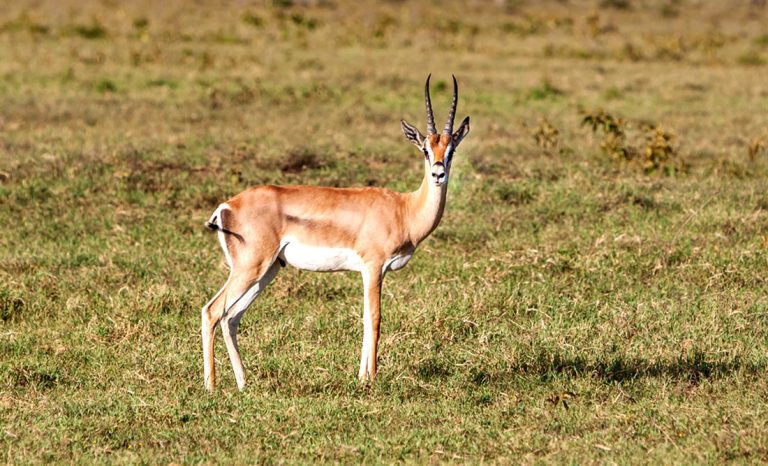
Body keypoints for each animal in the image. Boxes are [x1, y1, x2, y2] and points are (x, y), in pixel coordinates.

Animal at [201, 75, 470, 391]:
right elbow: (375, 318)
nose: (439, 174)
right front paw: (372, 379)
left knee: (231, 317)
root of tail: (227, 206)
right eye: (426, 150)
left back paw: (244, 384)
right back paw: (211, 387)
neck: (404, 209)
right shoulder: (373, 267)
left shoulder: (371, 272)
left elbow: (365, 318)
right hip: (250, 267)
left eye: (451, 150)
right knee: (212, 311)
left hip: (268, 270)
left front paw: (361, 377)